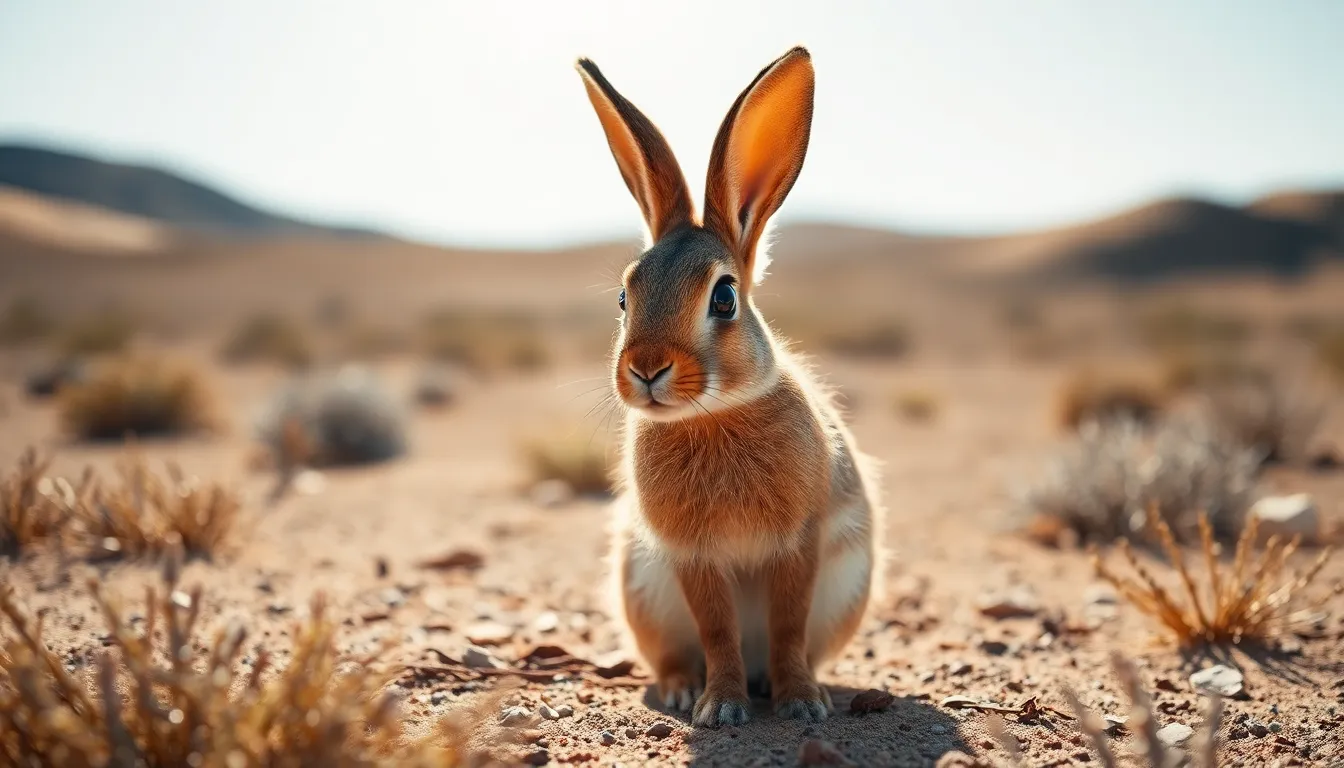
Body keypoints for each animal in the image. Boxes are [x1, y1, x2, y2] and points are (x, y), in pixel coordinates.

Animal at [575, 46, 883, 727]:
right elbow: (717, 630)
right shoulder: (693, 556)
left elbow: (789, 626)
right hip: (642, 585)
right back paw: (680, 688)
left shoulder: (799, 544)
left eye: (724, 298)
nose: (646, 369)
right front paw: (719, 707)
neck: (713, 415)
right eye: (624, 298)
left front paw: (801, 704)